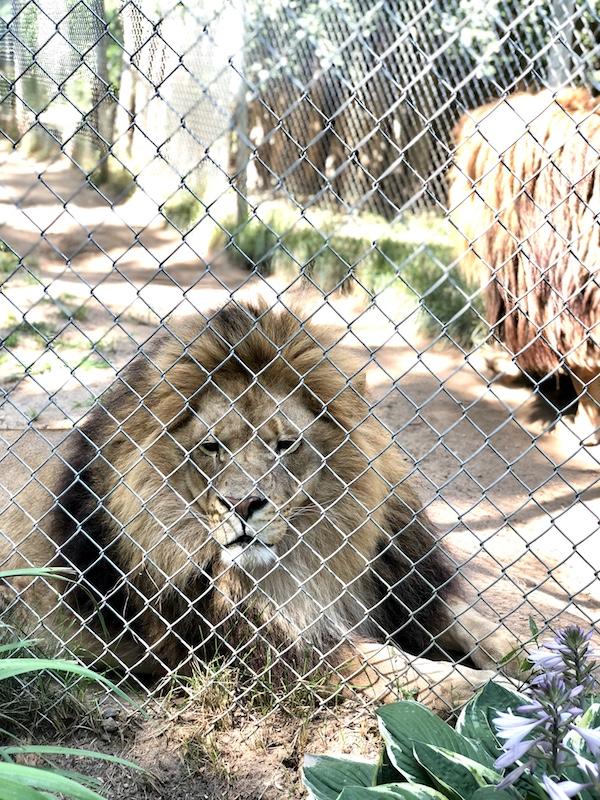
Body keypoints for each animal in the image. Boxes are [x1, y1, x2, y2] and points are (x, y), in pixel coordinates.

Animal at [0, 299, 519, 712]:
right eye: (211, 447)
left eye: (285, 445)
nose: (241, 504)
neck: (316, 555)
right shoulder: (269, 649)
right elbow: (403, 669)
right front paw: (502, 692)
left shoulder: (403, 592)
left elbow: (480, 625)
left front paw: (526, 658)